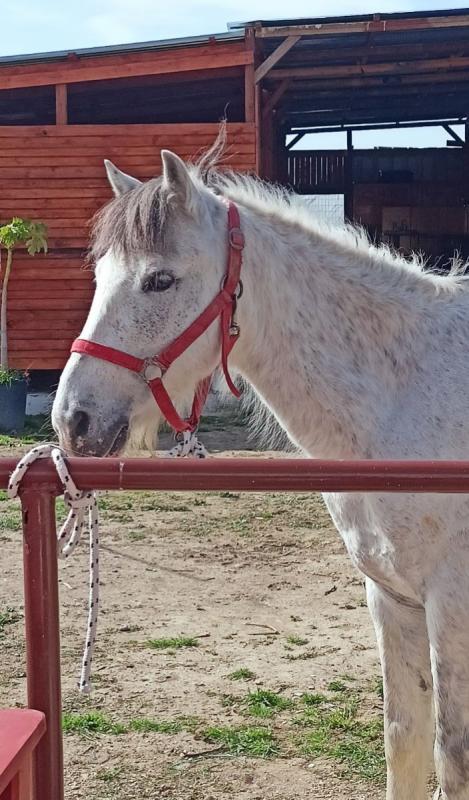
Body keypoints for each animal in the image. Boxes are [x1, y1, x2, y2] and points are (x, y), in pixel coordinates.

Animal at [52, 145, 469, 800]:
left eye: (160, 279)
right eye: (99, 277)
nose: (73, 420)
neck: (404, 394)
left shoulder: (451, 607)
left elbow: (452, 758)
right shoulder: (392, 598)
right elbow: (403, 742)